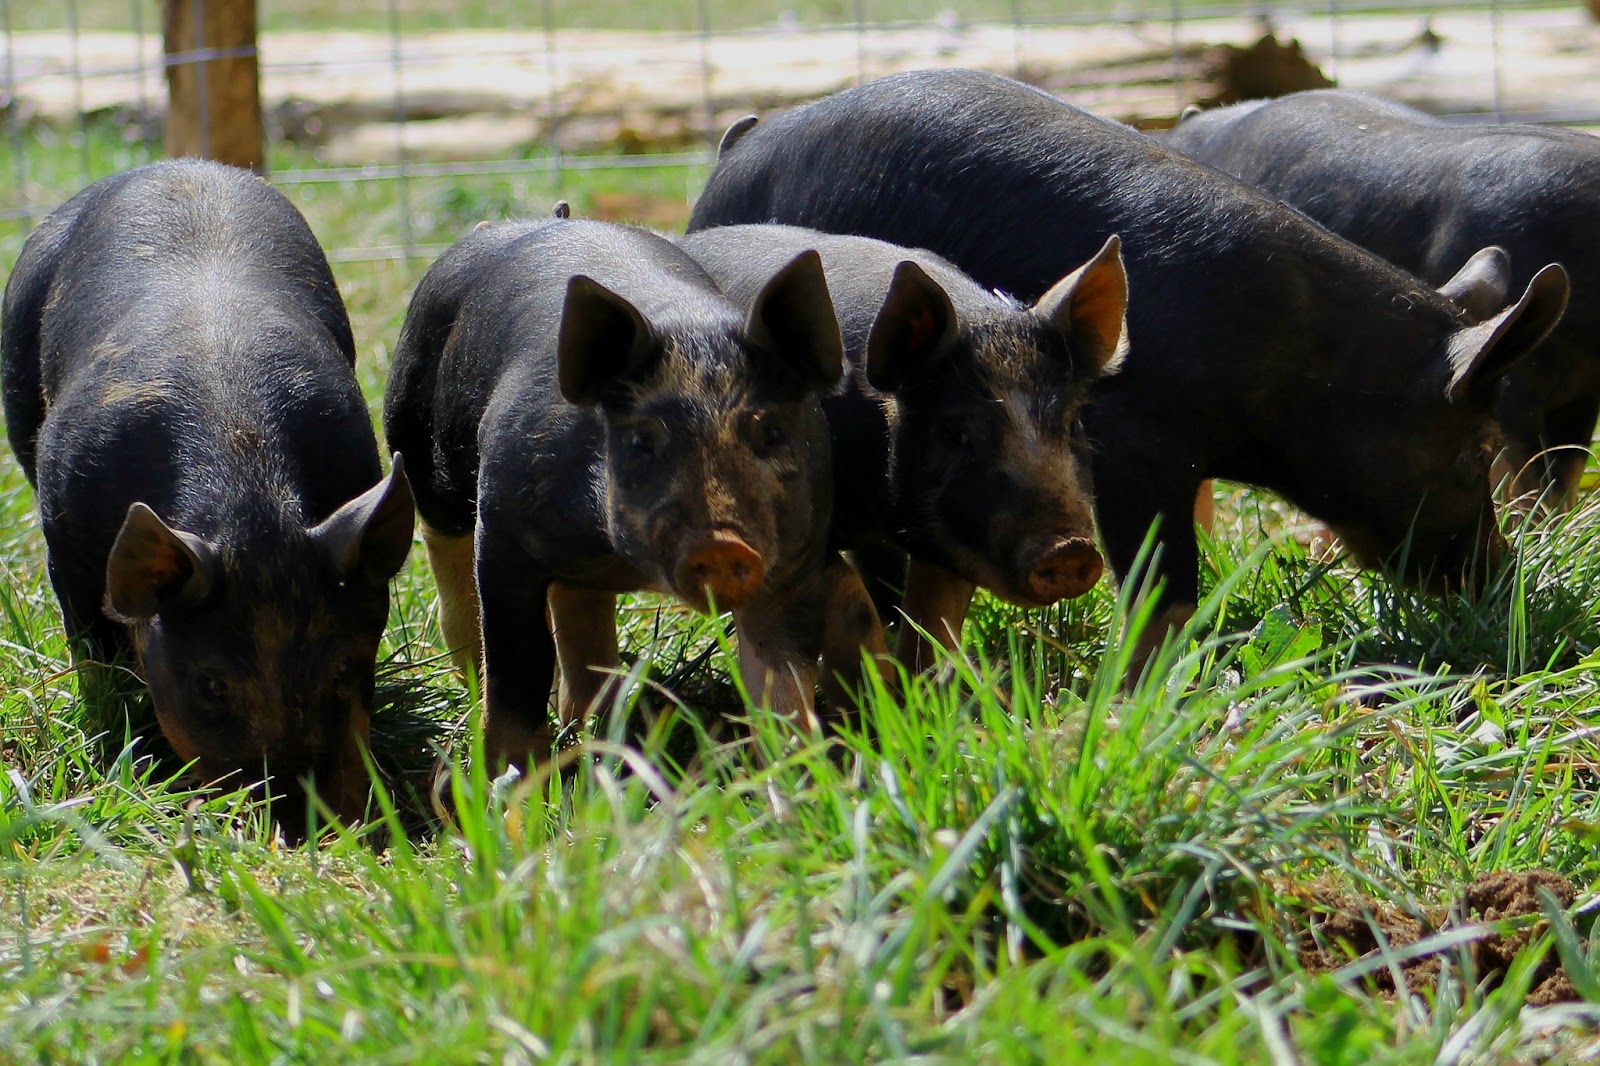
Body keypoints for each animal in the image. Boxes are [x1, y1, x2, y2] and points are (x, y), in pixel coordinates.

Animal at [382, 217, 851, 769]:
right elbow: (518, 664)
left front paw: (794, 773)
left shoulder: (799, 559)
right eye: (641, 441)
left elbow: (782, 686)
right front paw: (511, 777)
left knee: (579, 614)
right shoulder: (501, 532)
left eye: (772, 433)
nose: (722, 543)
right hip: (415, 443)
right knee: (448, 562)